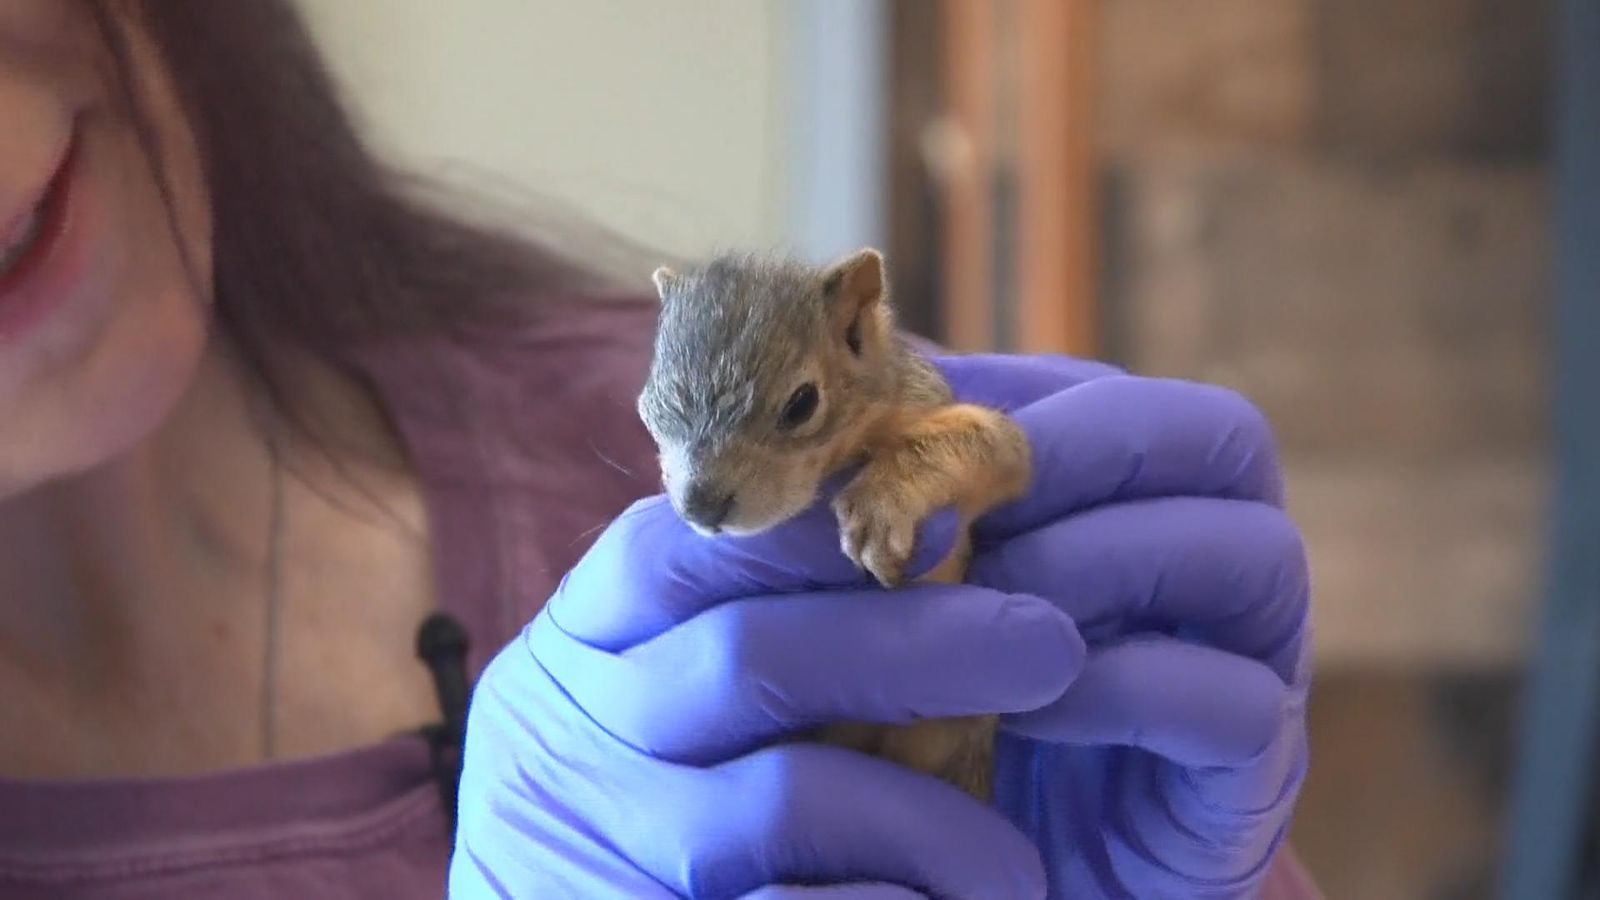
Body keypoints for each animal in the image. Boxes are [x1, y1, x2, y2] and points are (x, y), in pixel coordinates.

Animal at [635, 247, 1033, 801]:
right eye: (646, 409)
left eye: (802, 403)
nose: (700, 507)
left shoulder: (967, 427)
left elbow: (977, 442)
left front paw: (881, 505)